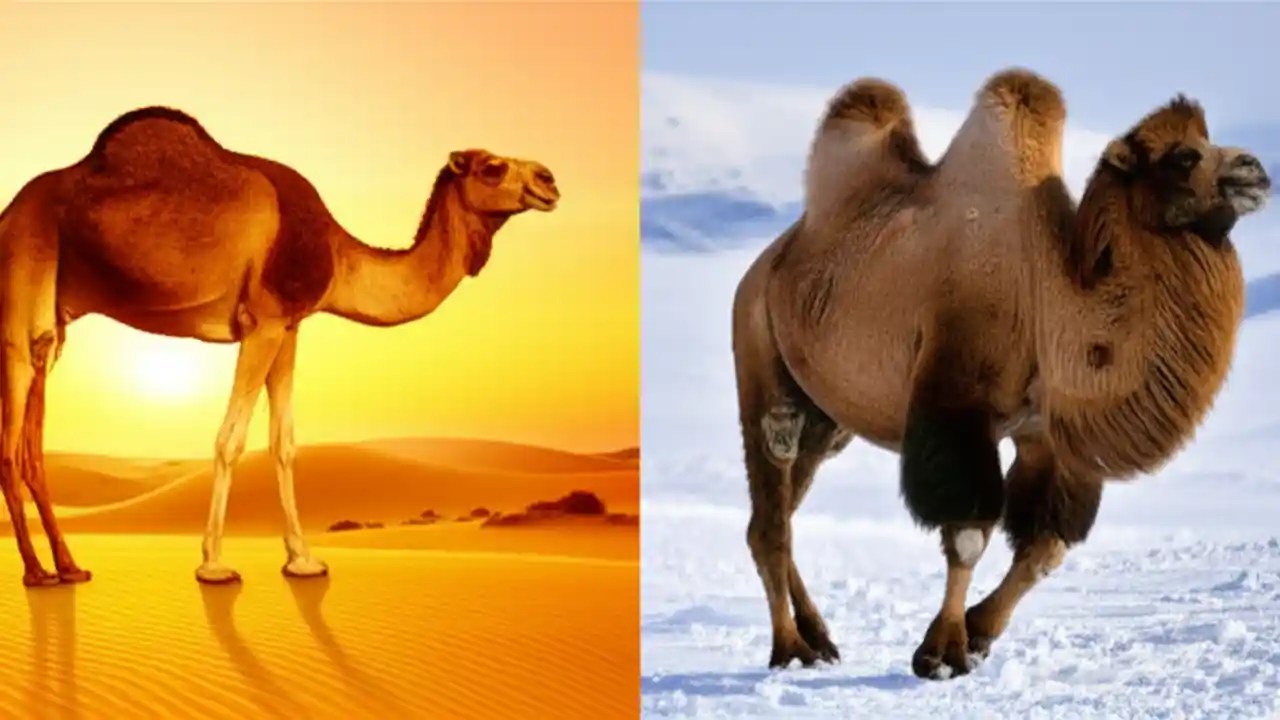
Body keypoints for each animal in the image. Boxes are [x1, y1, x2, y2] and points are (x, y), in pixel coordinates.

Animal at [0, 106, 560, 587]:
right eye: (492, 168)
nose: (549, 180)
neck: (335, 250)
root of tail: (10, 212)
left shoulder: (290, 328)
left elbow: (283, 442)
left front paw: (303, 560)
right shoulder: (263, 324)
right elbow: (229, 440)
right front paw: (214, 565)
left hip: (52, 325)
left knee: (33, 437)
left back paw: (69, 568)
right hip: (21, 285)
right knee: (11, 435)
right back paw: (37, 573)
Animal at [732, 68, 1269, 679]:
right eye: (1184, 156)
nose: (1254, 168)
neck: (1048, 300)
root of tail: (764, 266)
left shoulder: (1042, 433)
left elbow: (1045, 548)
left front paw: (978, 635)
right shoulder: (958, 407)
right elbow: (969, 533)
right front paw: (942, 653)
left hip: (829, 420)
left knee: (779, 511)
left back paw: (820, 638)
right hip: (764, 370)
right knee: (772, 514)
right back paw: (791, 649)